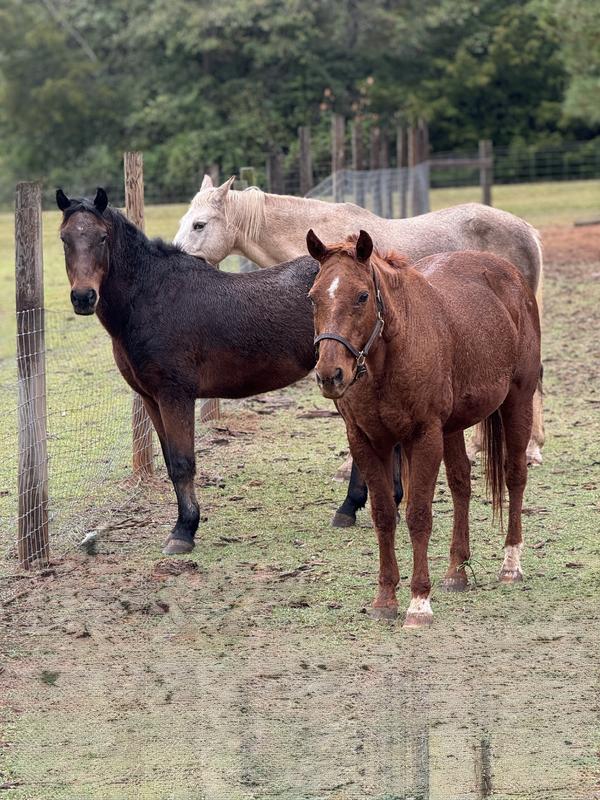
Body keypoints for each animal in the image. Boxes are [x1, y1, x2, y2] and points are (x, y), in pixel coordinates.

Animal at [55, 188, 402, 553]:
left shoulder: (175, 395)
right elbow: (171, 463)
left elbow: (183, 463)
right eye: (65, 239)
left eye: (102, 237)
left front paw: (183, 531)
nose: (83, 297)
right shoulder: (151, 399)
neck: (152, 297)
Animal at [306, 229, 541, 628]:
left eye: (362, 296)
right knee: (462, 484)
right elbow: (385, 514)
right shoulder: (366, 440)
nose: (330, 374)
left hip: (517, 403)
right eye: (313, 296)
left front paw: (418, 603)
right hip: (453, 427)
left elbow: (418, 515)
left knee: (514, 476)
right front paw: (385, 598)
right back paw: (456, 571)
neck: (389, 360)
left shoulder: (424, 436)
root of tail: (508, 273)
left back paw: (511, 564)